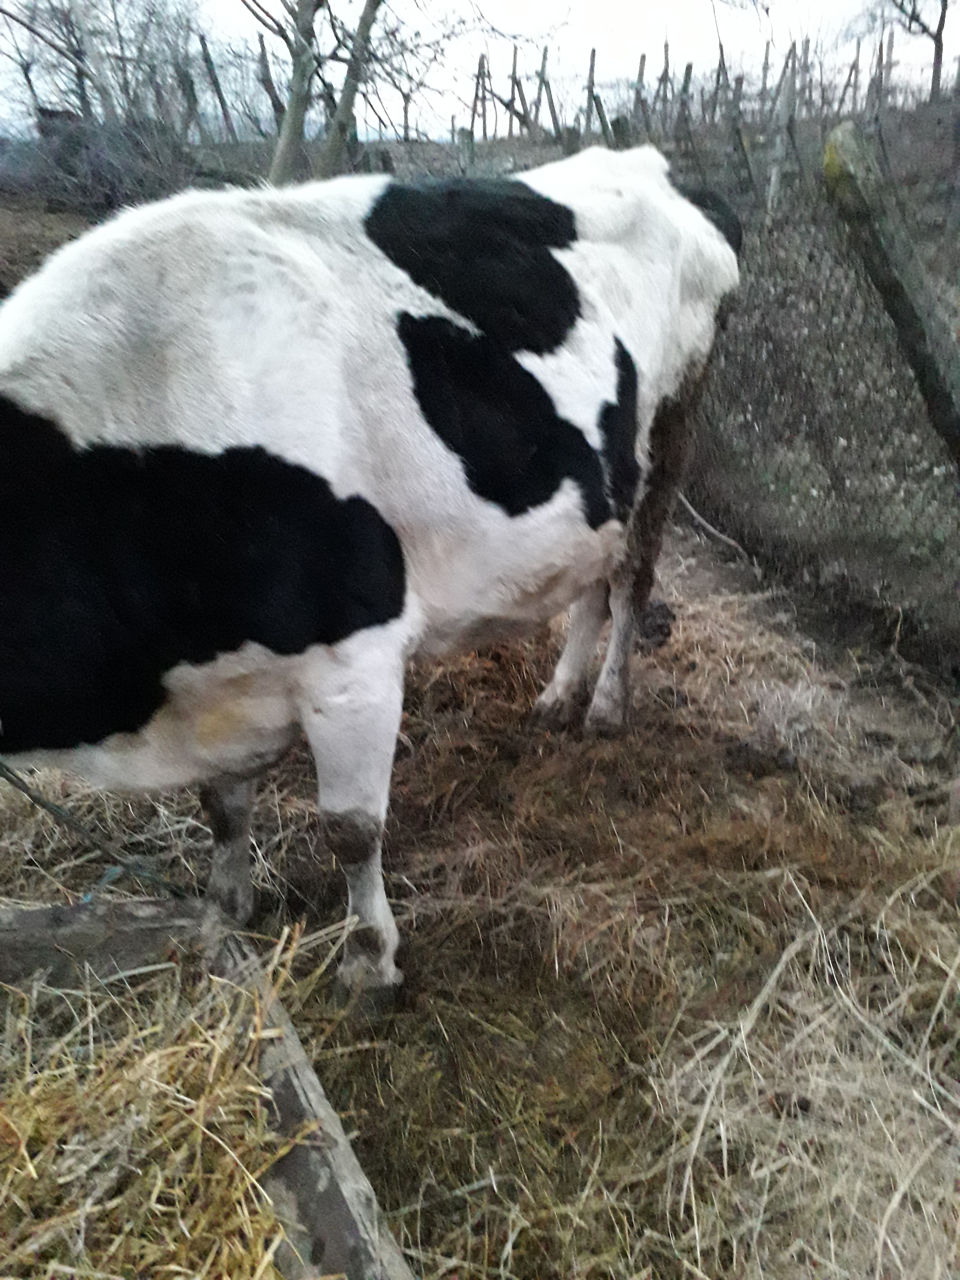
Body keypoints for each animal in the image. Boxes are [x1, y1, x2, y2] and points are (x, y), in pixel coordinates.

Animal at [0, 146, 740, 996]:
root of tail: (647, 160)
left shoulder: (356, 662)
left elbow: (351, 832)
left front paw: (368, 961)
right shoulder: (231, 682)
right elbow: (224, 805)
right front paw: (228, 906)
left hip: (673, 431)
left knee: (629, 583)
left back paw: (607, 706)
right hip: (603, 477)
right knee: (592, 578)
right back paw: (558, 697)